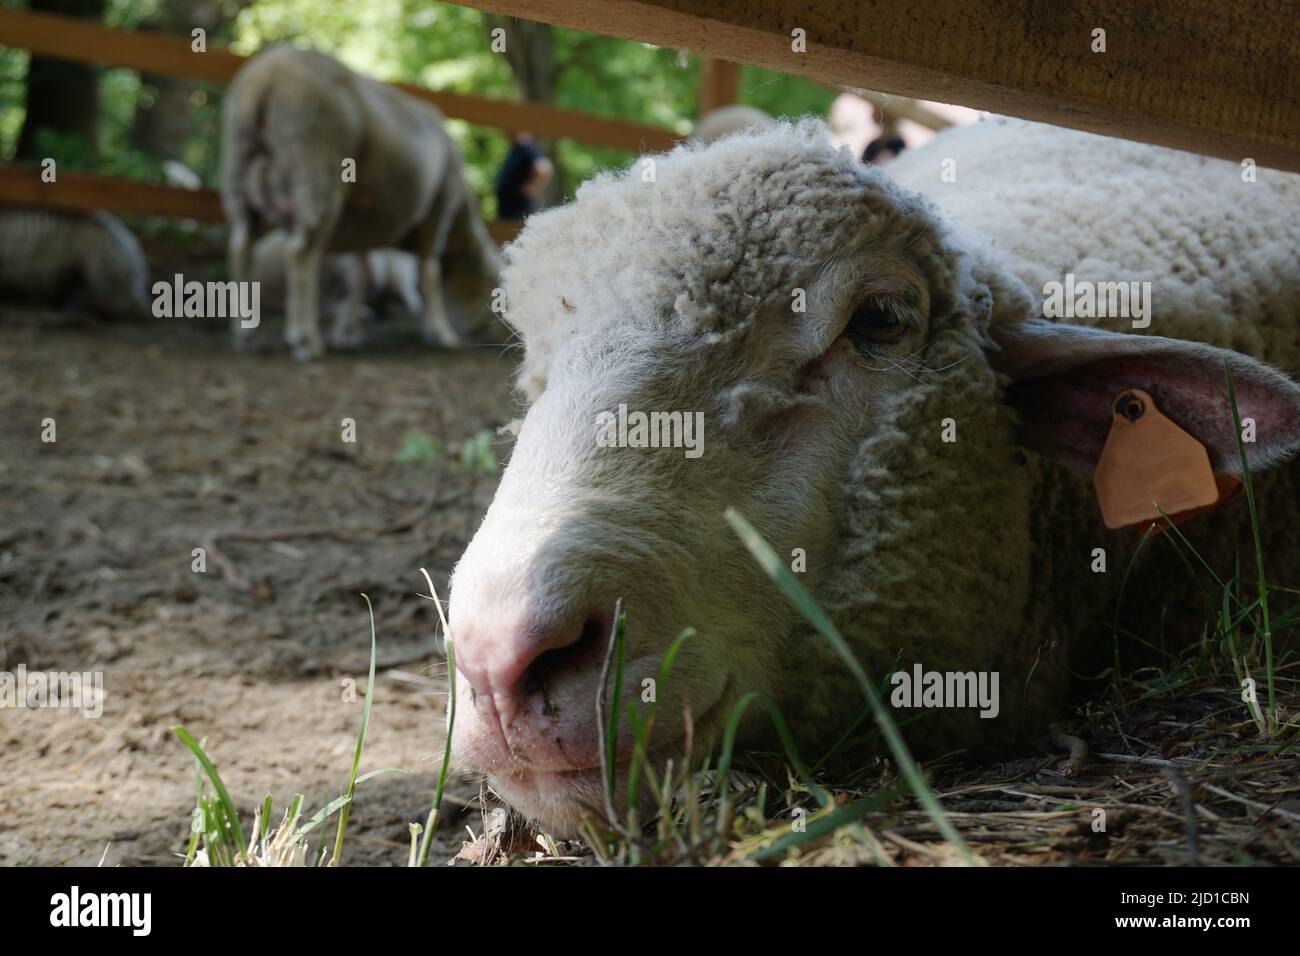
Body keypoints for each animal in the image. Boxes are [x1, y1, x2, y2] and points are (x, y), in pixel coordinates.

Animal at [220, 46, 501, 360]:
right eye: (494, 288)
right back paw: (305, 339)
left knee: (241, 246)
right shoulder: (437, 209)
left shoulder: (366, 221)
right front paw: (442, 332)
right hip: (315, 164)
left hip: (241, 173)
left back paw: (245, 331)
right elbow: (429, 272)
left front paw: (348, 332)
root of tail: (266, 77)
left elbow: (360, 274)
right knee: (302, 254)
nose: (491, 335)